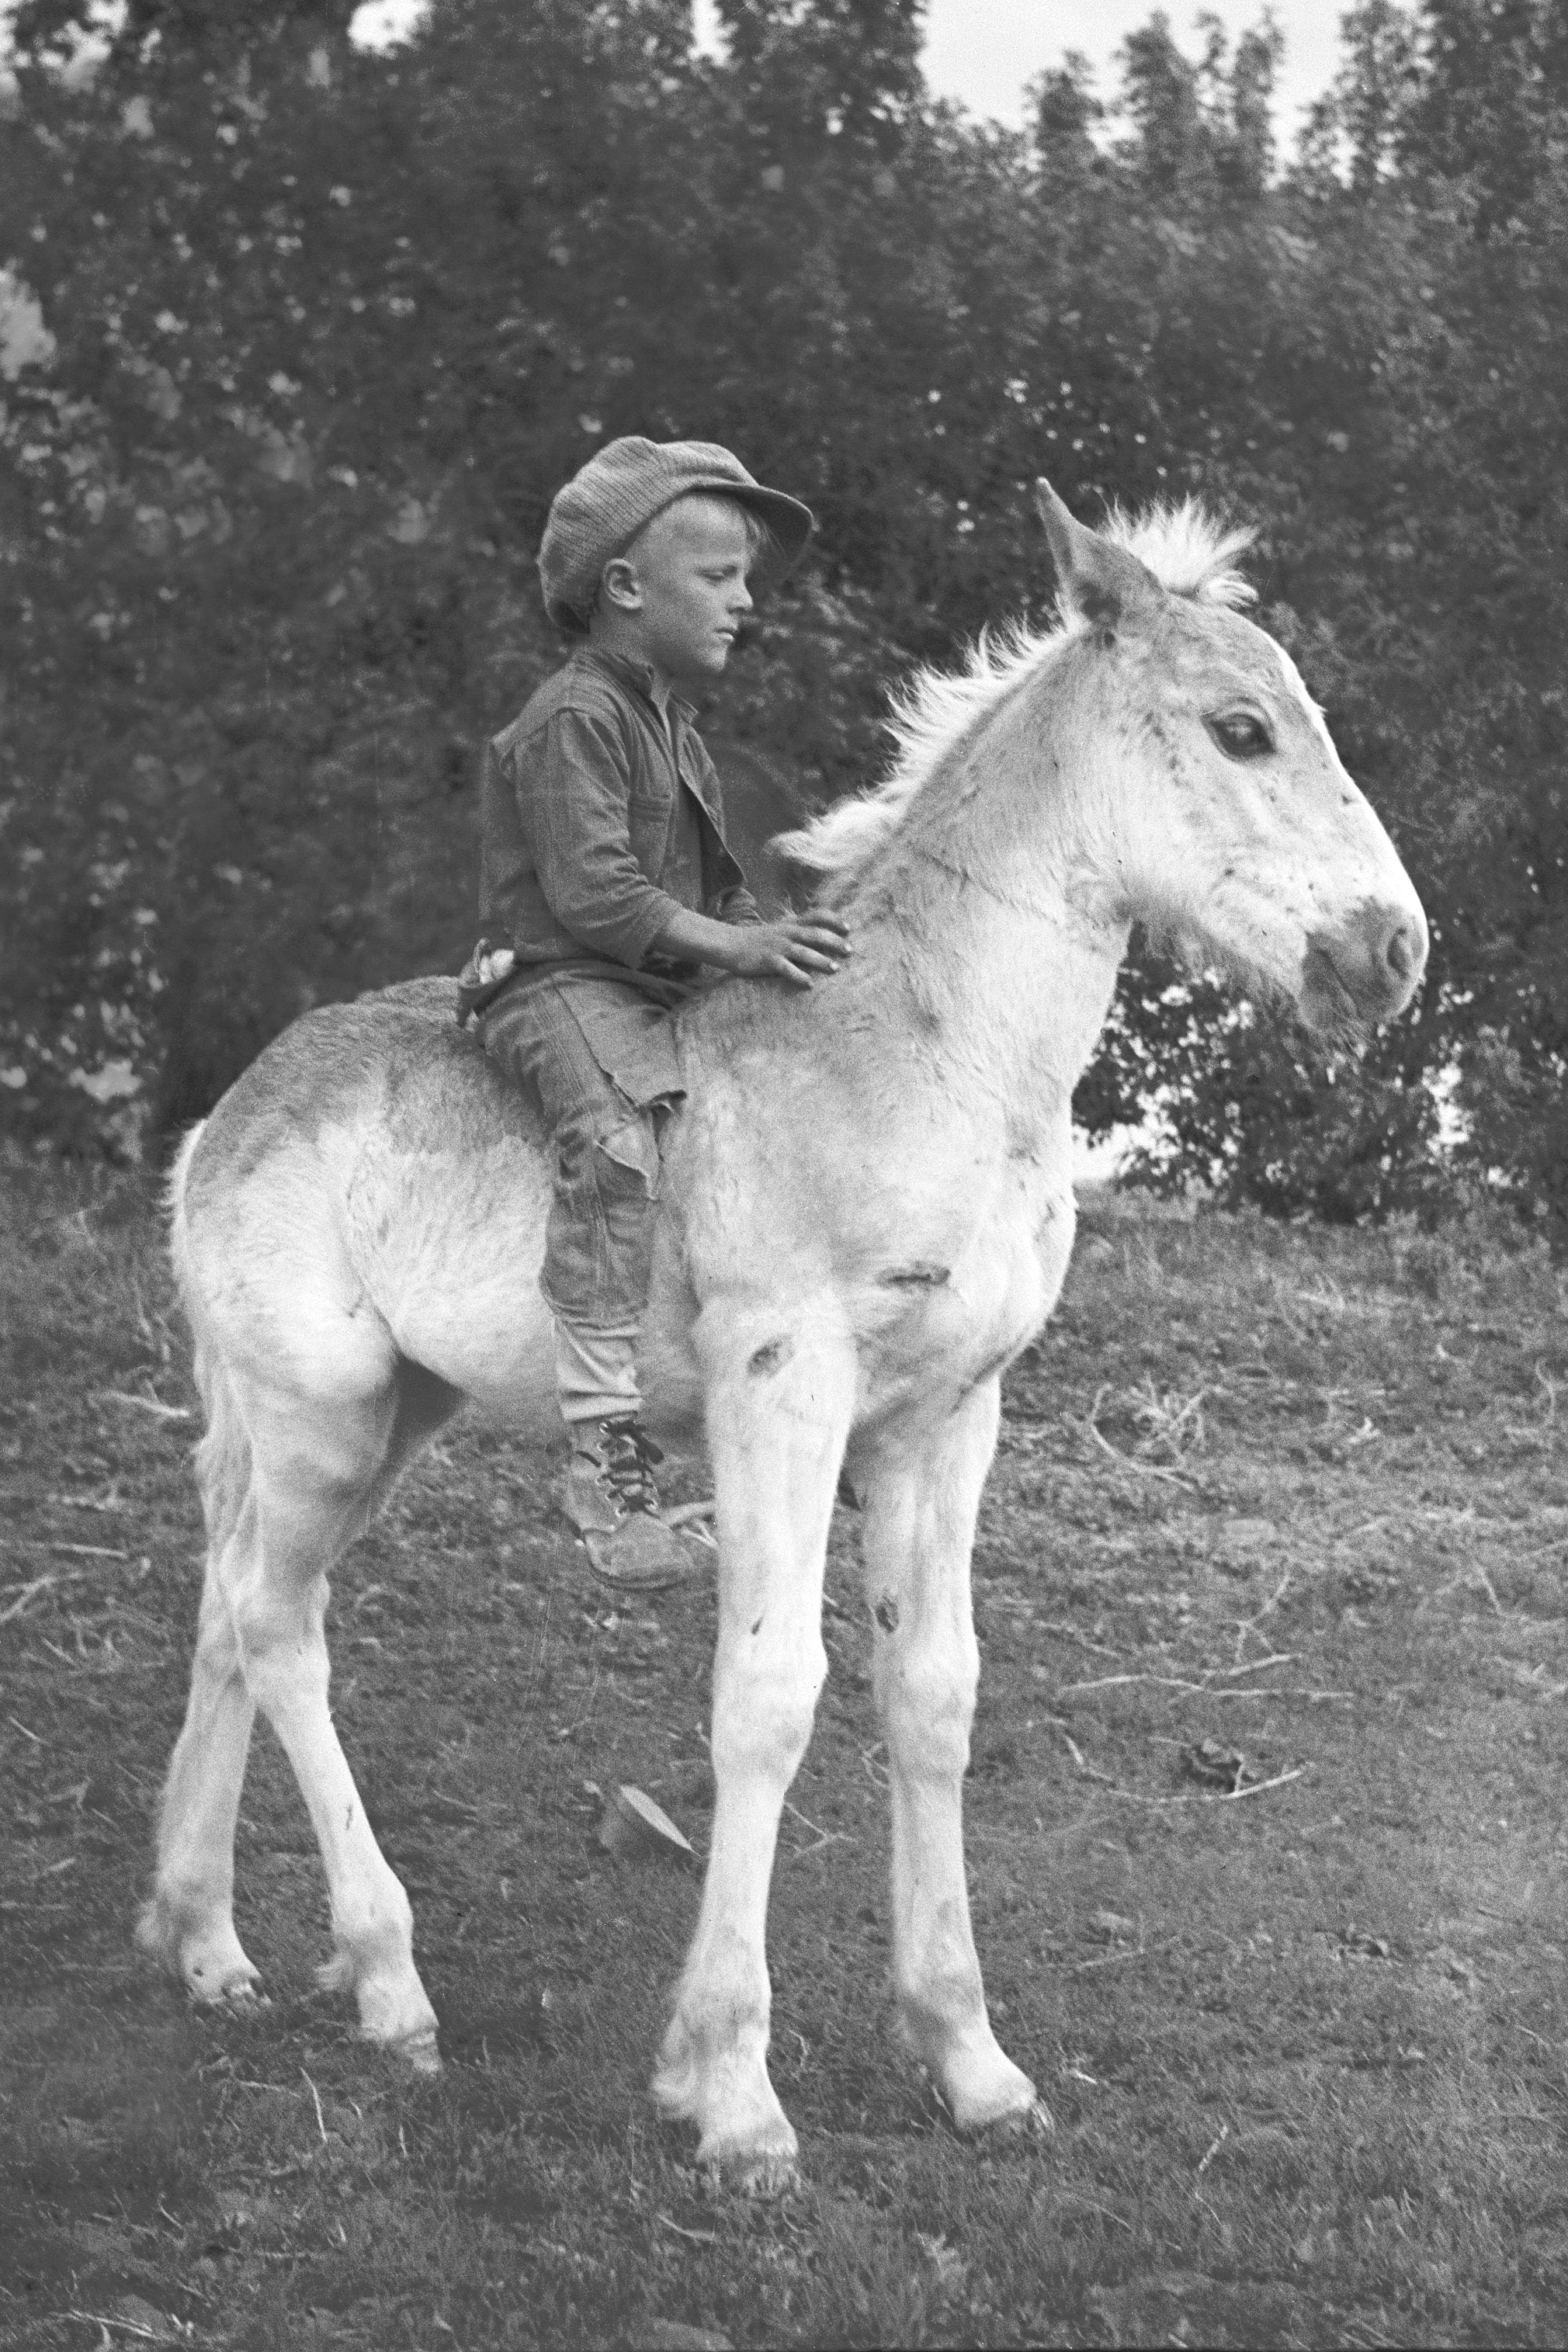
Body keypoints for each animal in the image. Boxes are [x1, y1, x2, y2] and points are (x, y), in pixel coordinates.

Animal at [137, 483, 1427, 2192]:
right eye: (1239, 728)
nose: (1391, 952)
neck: (934, 1059)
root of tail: (221, 1123)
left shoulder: (946, 1416)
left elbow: (931, 1690)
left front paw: (970, 2062)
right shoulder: (785, 1393)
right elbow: (770, 1697)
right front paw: (731, 2096)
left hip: (385, 1419)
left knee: (229, 1610)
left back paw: (206, 1946)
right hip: (323, 1415)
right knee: (280, 1628)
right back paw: (389, 1988)